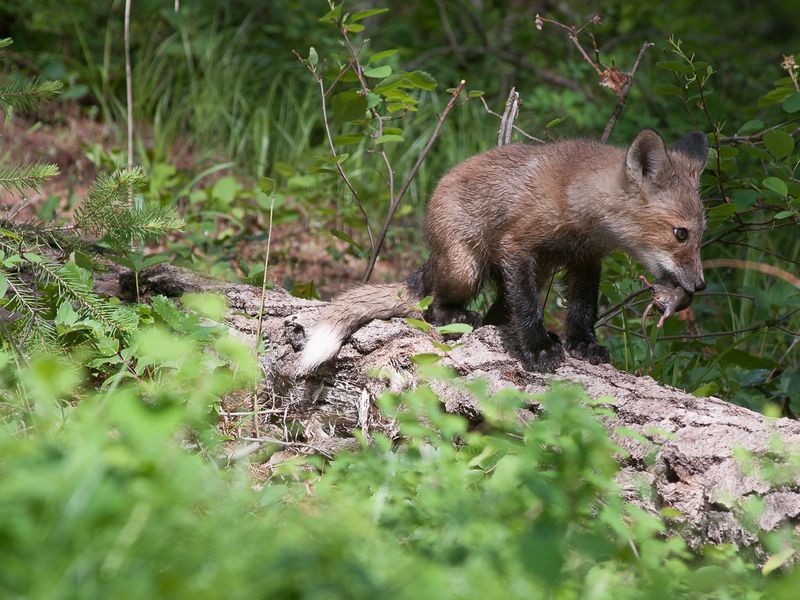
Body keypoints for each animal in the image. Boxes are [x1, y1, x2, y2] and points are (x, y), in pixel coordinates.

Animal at [298, 129, 708, 374]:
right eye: (680, 234)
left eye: (700, 234)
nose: (700, 286)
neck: (578, 205)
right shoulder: (517, 246)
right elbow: (528, 308)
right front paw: (538, 349)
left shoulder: (585, 259)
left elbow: (583, 310)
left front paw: (582, 344)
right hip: (466, 269)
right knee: (432, 306)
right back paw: (454, 316)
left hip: (530, 273)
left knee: (495, 315)